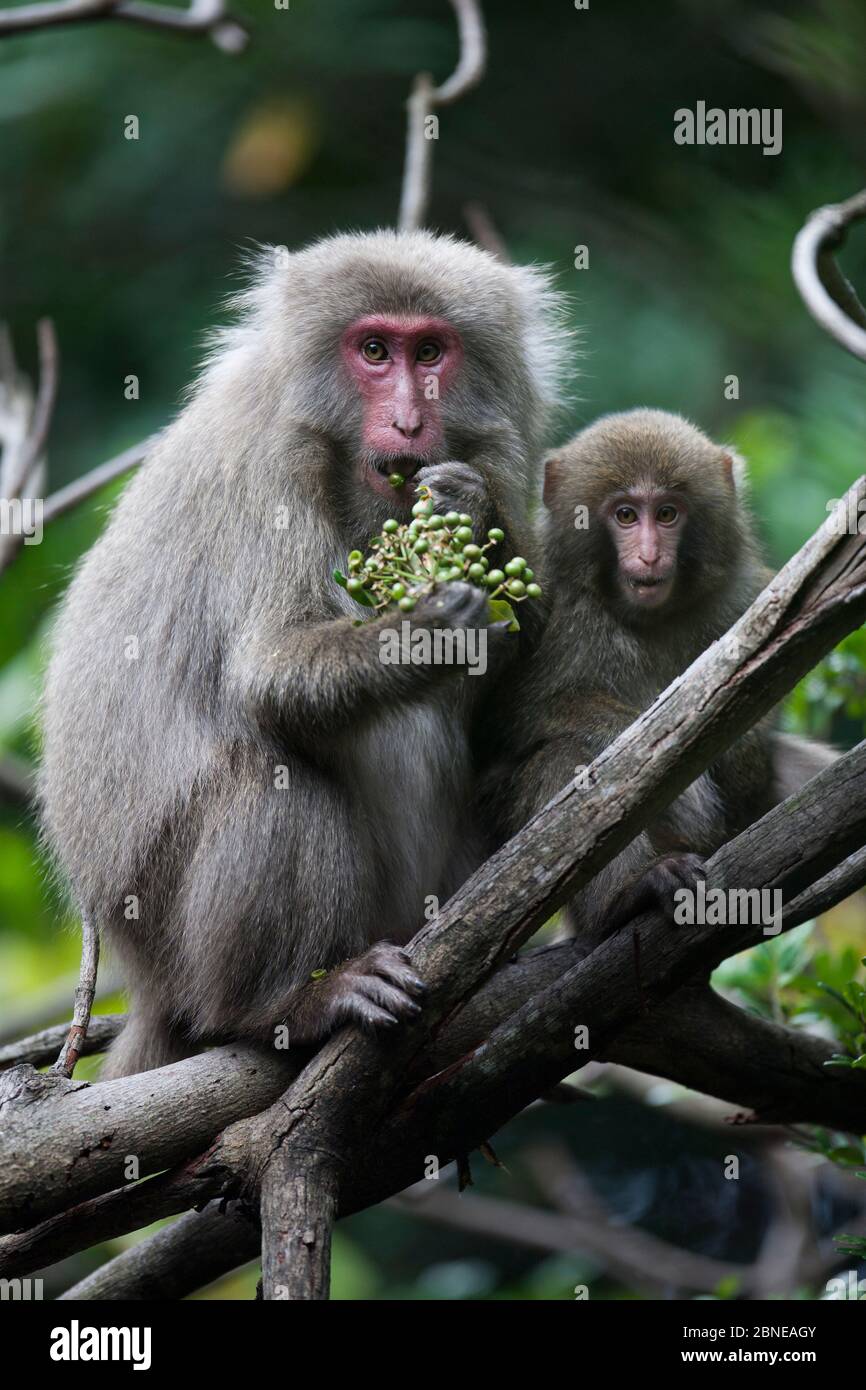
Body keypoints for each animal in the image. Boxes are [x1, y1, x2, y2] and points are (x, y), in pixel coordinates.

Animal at [39, 230, 569, 1077]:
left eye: (431, 352)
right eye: (375, 351)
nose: (409, 422)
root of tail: (145, 984)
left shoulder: (500, 455)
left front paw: (474, 514)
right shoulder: (266, 472)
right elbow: (267, 677)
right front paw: (431, 626)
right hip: (167, 923)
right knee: (273, 778)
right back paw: (278, 1006)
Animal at [478, 408, 837, 943]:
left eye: (667, 514)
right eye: (626, 515)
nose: (648, 556)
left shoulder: (741, 592)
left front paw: (741, 757)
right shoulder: (552, 602)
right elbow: (515, 720)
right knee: (565, 759)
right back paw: (628, 895)